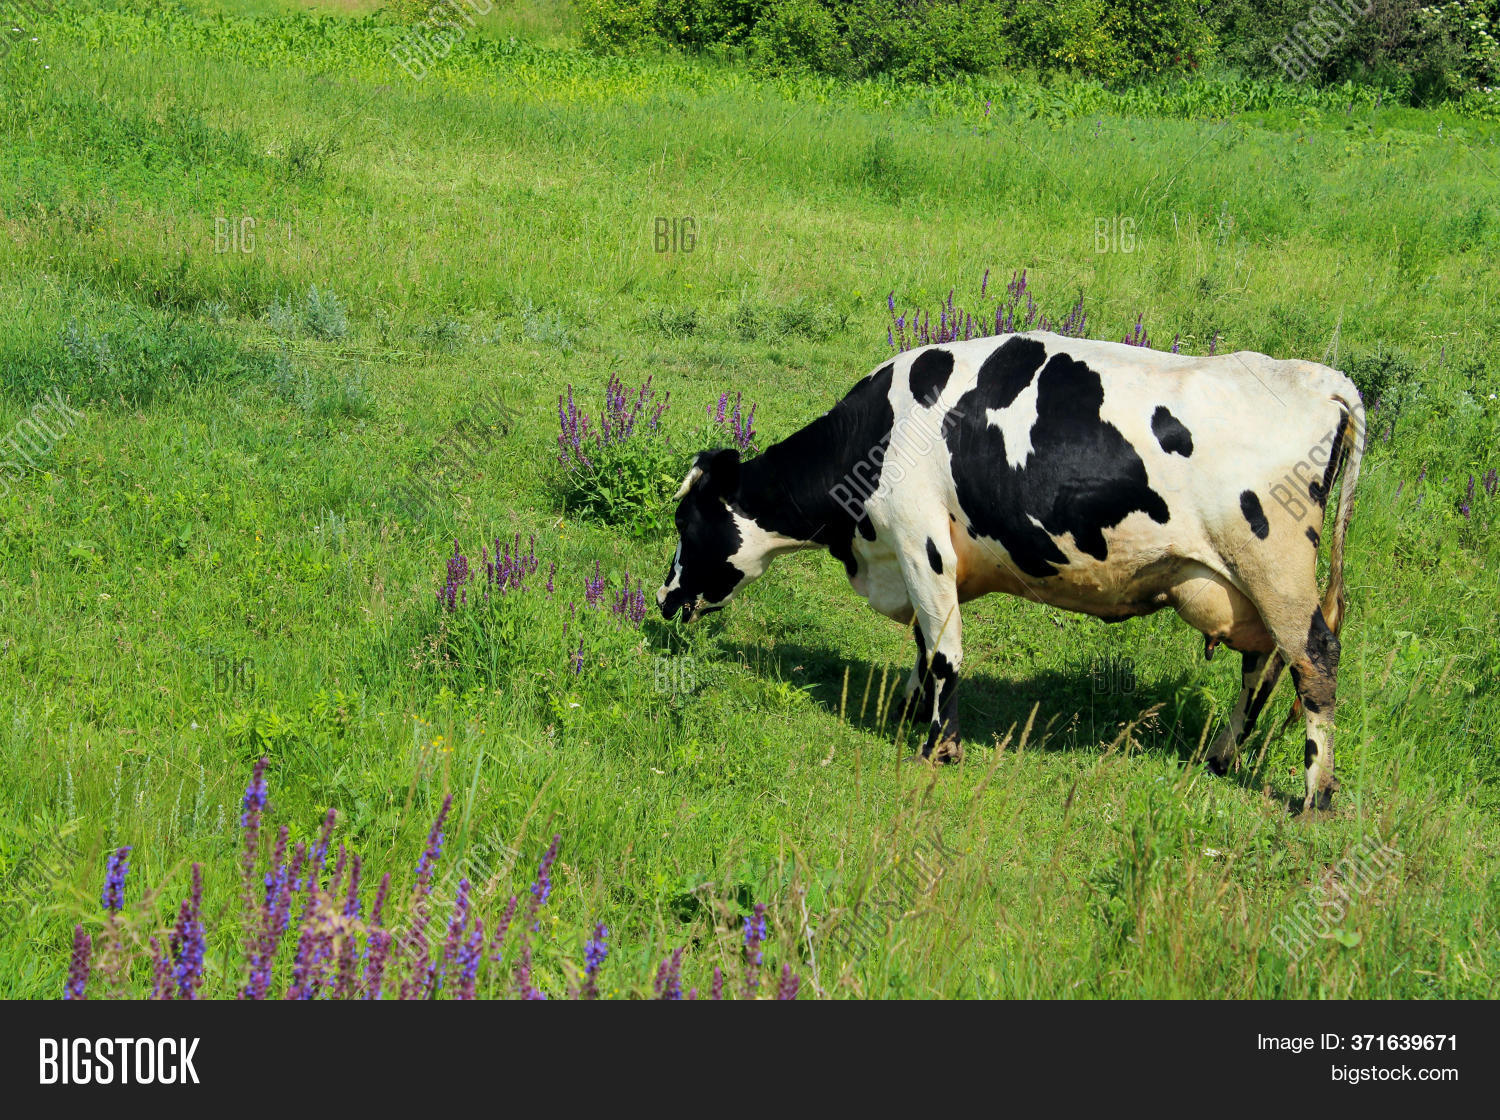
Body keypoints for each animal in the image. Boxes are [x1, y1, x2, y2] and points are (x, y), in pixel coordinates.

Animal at [657, 331, 1365, 812]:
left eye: (686, 520)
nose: (662, 601)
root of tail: (1319, 378)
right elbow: (923, 640)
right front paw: (912, 708)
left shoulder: (920, 538)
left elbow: (944, 648)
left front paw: (938, 747)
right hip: (1245, 585)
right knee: (1264, 663)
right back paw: (1222, 758)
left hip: (1274, 566)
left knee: (1313, 658)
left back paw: (1315, 795)